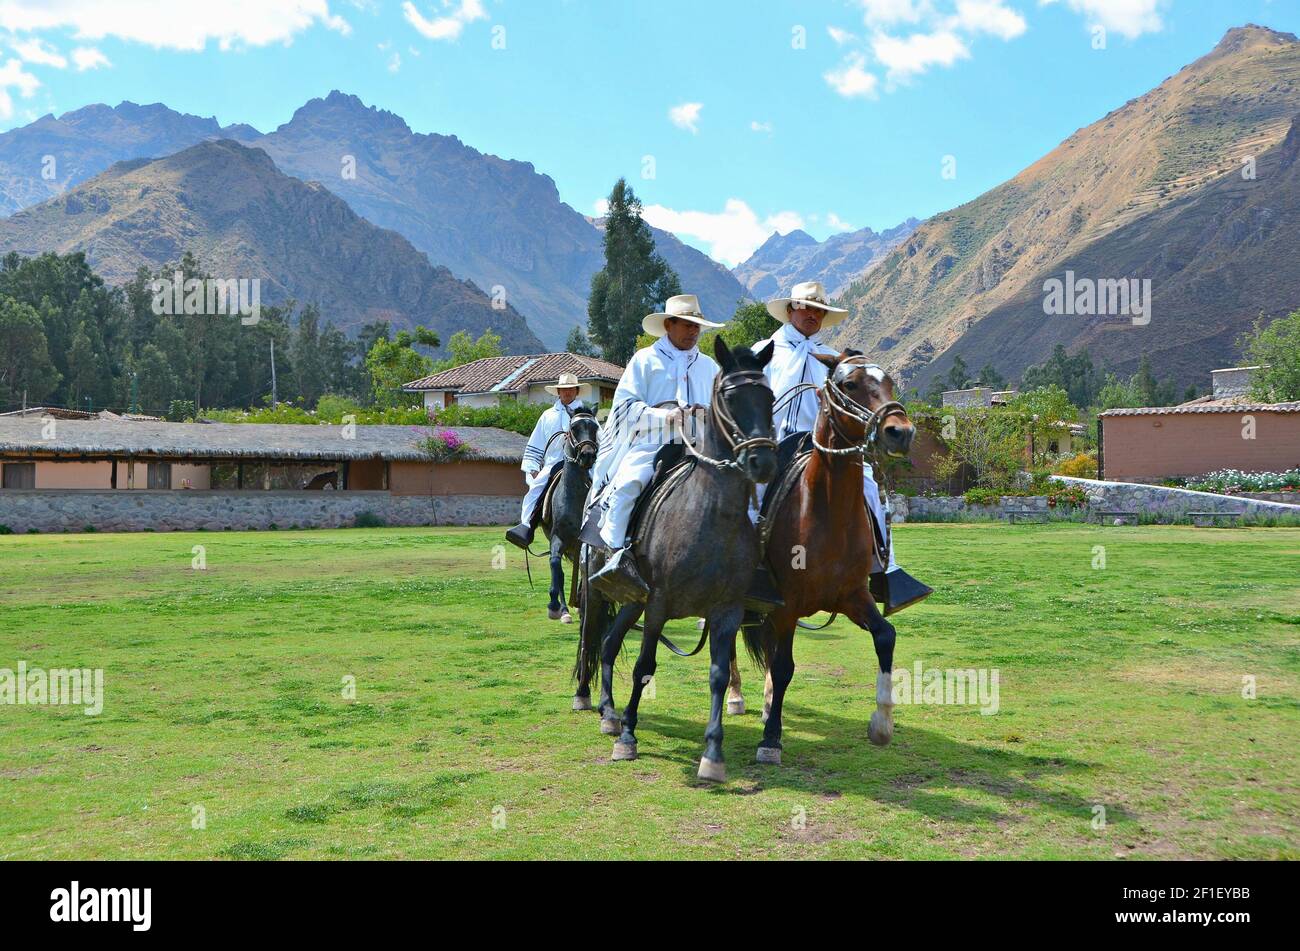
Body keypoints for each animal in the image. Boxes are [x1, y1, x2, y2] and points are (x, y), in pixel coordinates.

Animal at [536, 407, 600, 626]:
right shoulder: (558, 538)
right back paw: (564, 609)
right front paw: (555, 606)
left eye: (595, 427)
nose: (588, 455)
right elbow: (556, 567)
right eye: (574, 428)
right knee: (560, 573)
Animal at [574, 337, 777, 783]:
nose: (762, 462)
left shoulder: (726, 611)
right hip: (601, 596)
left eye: (769, 396)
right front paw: (628, 738)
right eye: (729, 396)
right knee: (594, 641)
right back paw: (599, 708)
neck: (708, 514)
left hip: (631, 603)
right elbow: (645, 666)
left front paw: (713, 754)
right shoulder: (659, 605)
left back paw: (610, 712)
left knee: (609, 645)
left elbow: (719, 675)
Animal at [738, 350, 917, 765]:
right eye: (849, 384)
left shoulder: (852, 596)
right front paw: (771, 741)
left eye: (890, 382)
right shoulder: (786, 607)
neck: (824, 512)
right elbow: (784, 667)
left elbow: (886, 636)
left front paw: (882, 725)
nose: (901, 432)